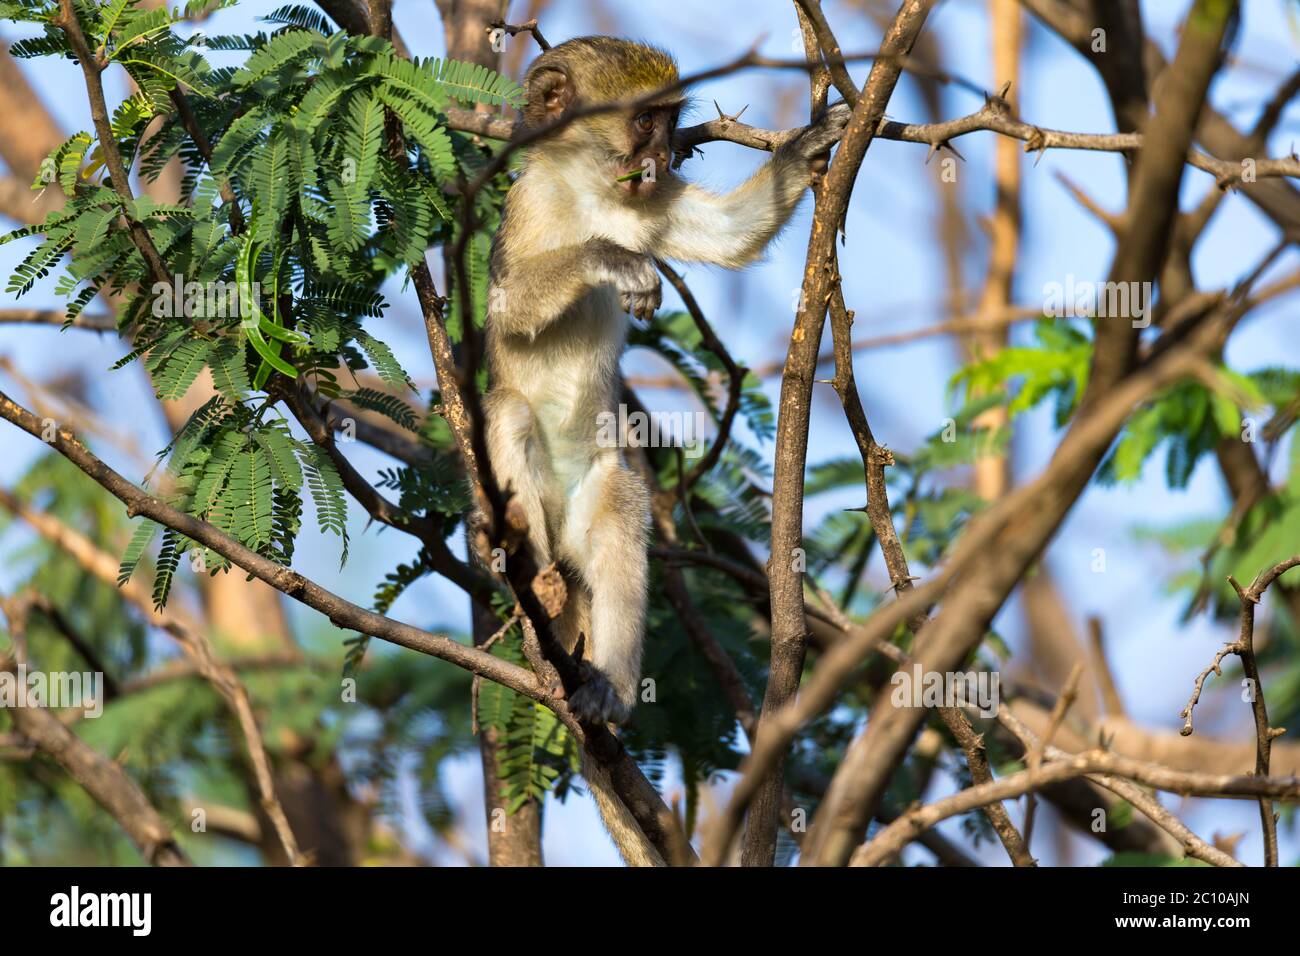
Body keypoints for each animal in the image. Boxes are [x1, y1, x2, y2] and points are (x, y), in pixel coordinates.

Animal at [484, 36, 849, 729]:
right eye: (644, 120)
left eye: (671, 120)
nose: (659, 157)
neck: (592, 193)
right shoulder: (526, 208)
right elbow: (506, 308)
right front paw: (611, 258)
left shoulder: (650, 203)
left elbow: (730, 235)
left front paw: (807, 144)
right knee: (508, 414)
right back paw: (535, 593)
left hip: (597, 496)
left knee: (620, 524)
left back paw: (608, 686)